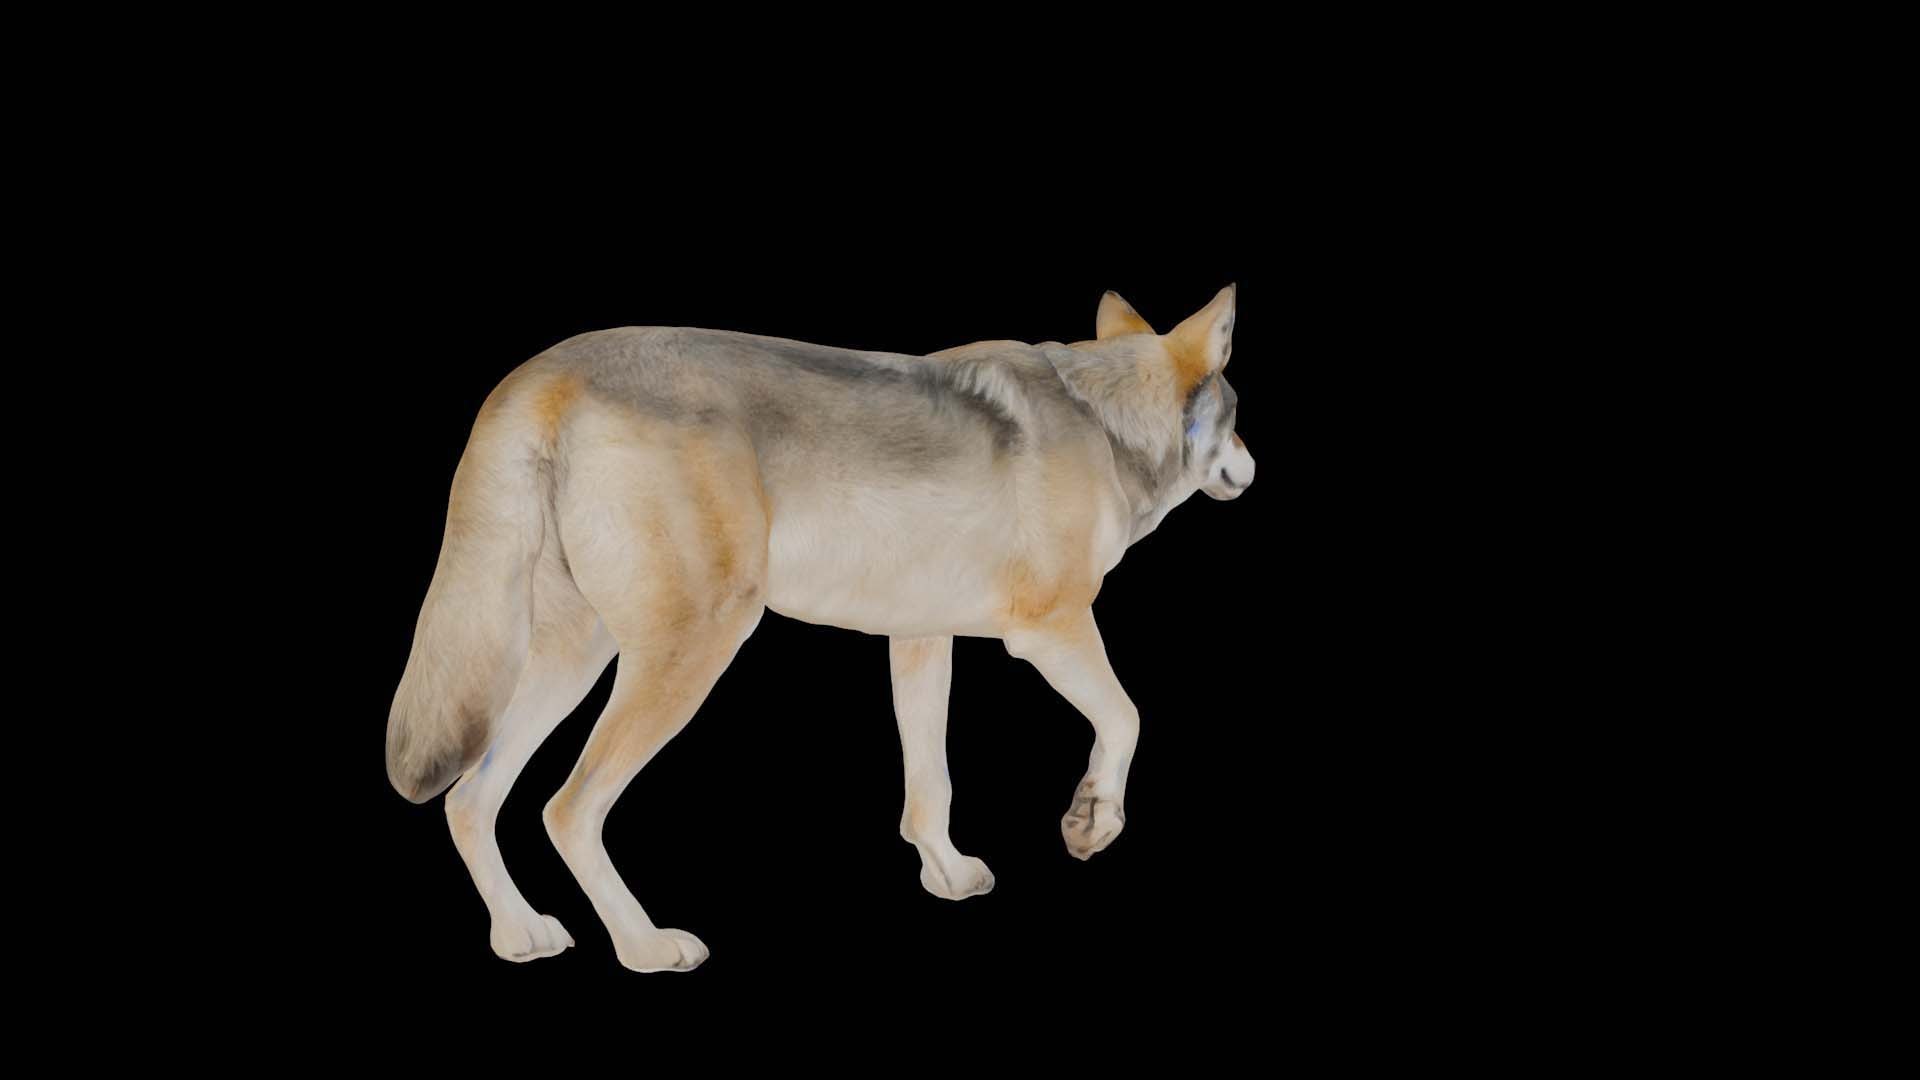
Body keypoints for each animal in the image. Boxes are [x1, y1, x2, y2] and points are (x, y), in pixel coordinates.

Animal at [386, 286, 1255, 971]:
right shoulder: (1050, 629)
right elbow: (1126, 718)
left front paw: (946, 874)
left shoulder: (921, 640)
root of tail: (547, 369)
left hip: (572, 660)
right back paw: (645, 947)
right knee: (567, 809)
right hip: (692, 650)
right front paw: (1091, 823)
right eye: (1241, 413)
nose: (1252, 467)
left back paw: (519, 935)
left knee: (468, 799)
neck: (1105, 419)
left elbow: (929, 786)